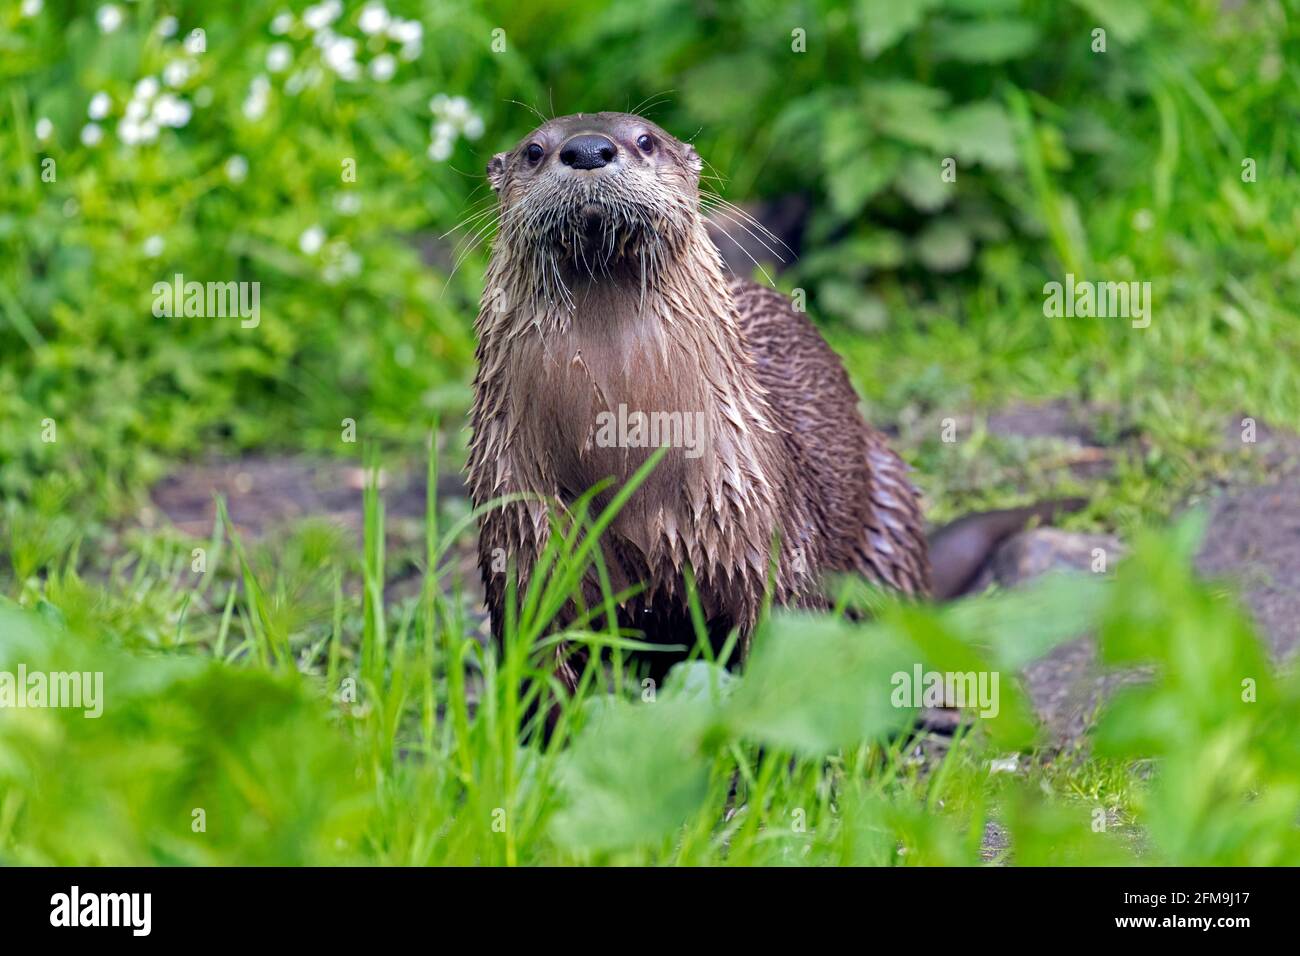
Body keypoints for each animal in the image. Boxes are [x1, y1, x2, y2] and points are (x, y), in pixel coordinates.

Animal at [466, 112, 1037, 690]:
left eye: (645, 139)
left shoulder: (769, 539)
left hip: (887, 518)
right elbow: (537, 667)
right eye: (534, 151)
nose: (587, 149)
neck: (622, 454)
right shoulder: (523, 539)